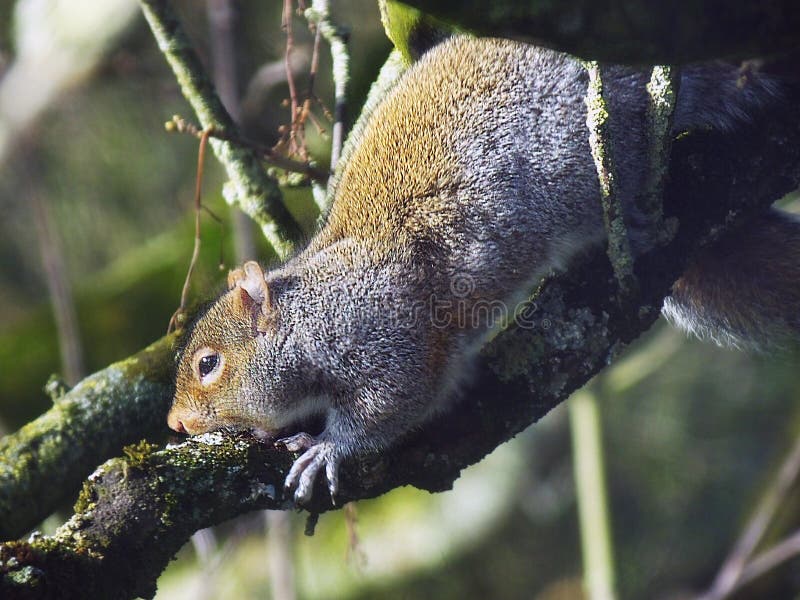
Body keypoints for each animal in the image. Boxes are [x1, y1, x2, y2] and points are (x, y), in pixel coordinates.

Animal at [168, 35, 800, 504]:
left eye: (207, 364)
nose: (174, 423)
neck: (313, 307)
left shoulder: (382, 328)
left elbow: (395, 399)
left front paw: (329, 448)